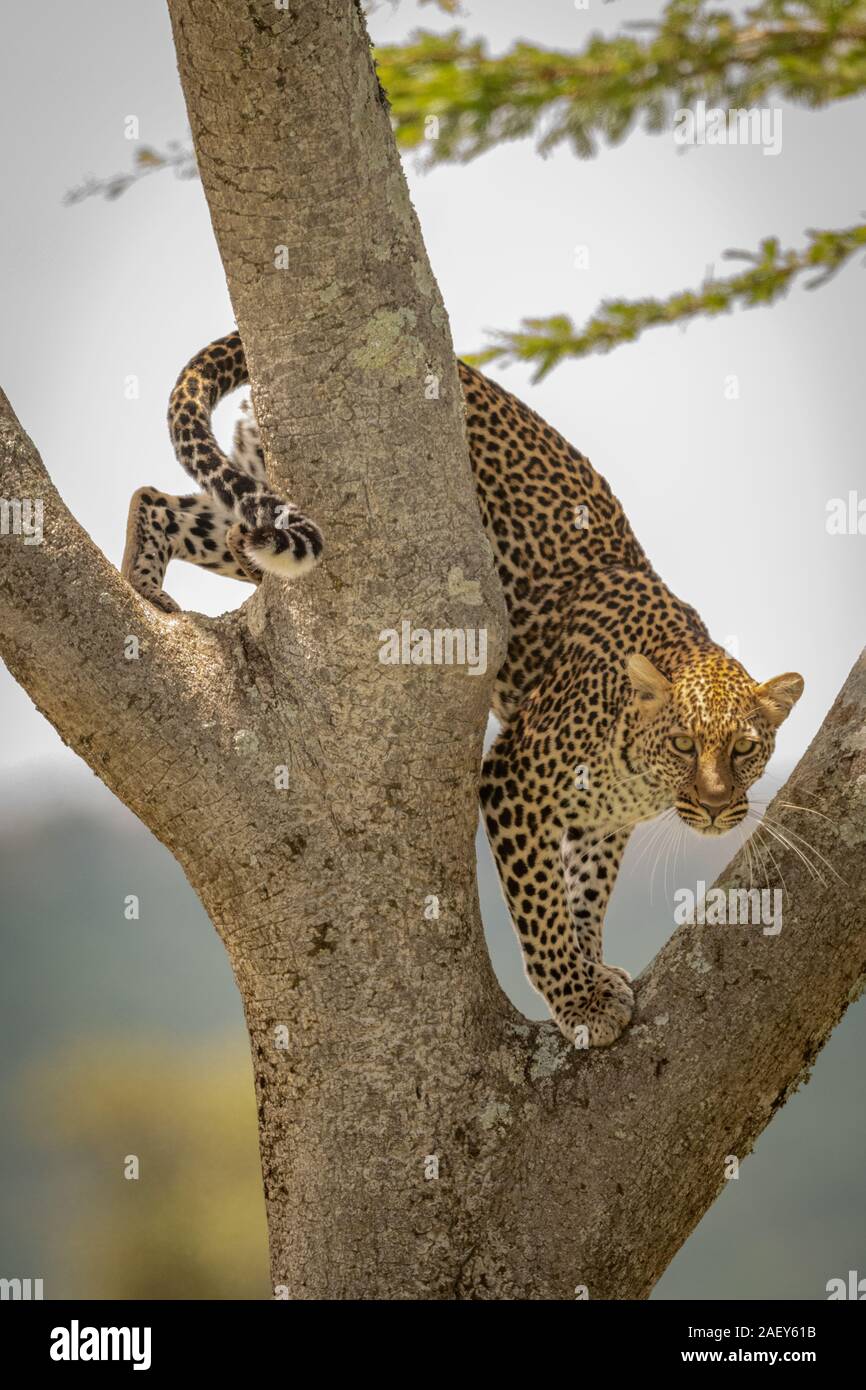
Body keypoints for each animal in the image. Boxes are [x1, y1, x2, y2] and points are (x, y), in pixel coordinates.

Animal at [123, 334, 803, 1046]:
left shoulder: (599, 820)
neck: (642, 774)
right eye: (683, 744)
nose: (719, 809)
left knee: (162, 502)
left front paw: (593, 968)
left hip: (243, 498)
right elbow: (542, 906)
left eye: (747, 748)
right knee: (223, 529)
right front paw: (578, 998)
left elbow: (585, 892)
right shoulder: (515, 780)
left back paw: (144, 593)